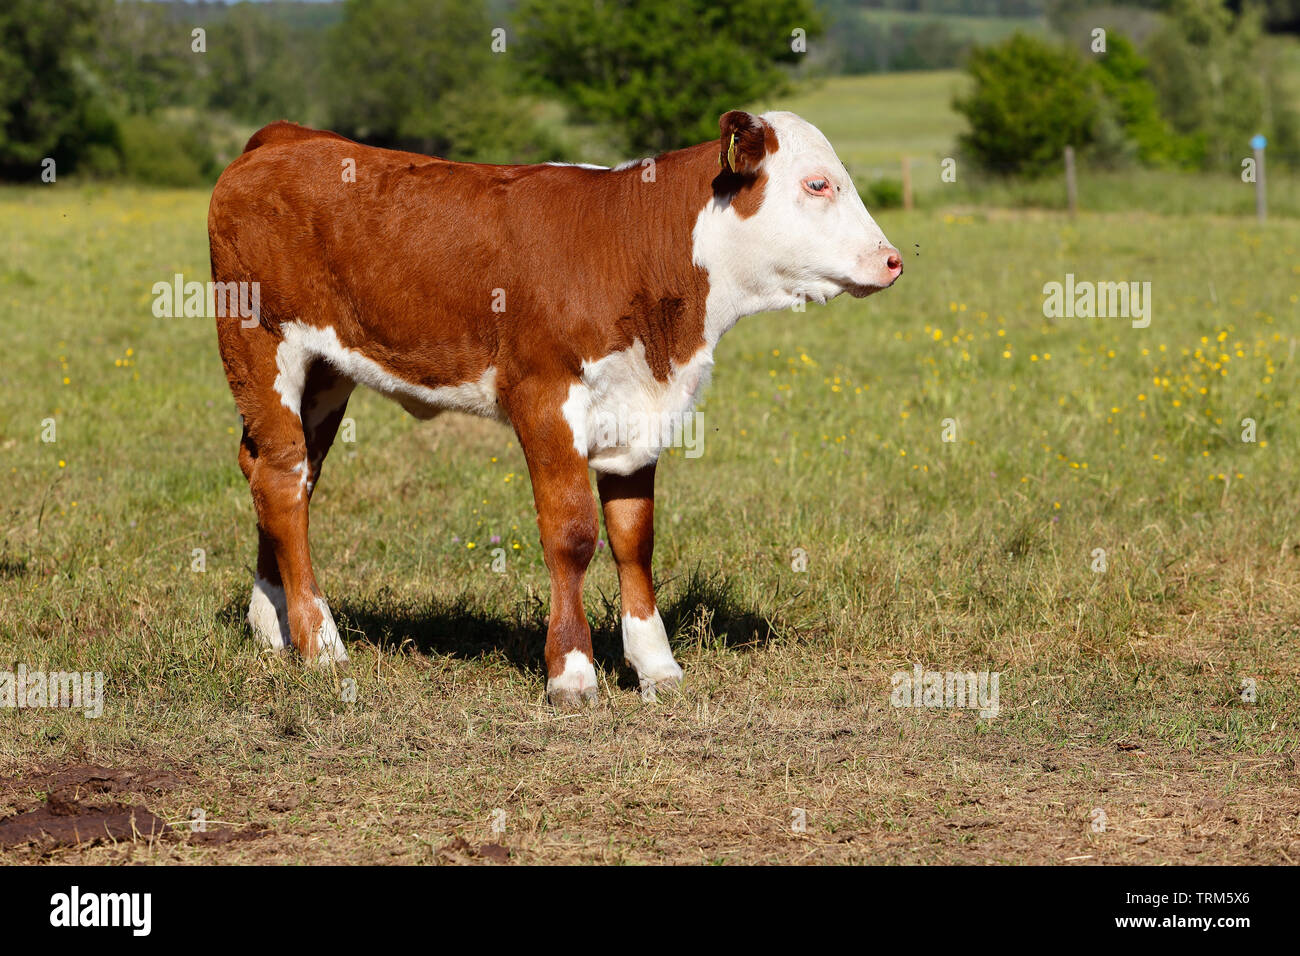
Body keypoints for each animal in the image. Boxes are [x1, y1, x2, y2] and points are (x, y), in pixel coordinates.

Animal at [208, 110, 902, 708]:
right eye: (817, 183)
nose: (893, 260)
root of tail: (284, 137)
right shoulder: (544, 398)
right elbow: (571, 535)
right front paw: (572, 672)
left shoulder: (637, 413)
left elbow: (633, 538)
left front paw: (655, 665)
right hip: (260, 341)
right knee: (282, 477)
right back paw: (320, 644)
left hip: (326, 372)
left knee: (283, 474)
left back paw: (272, 626)